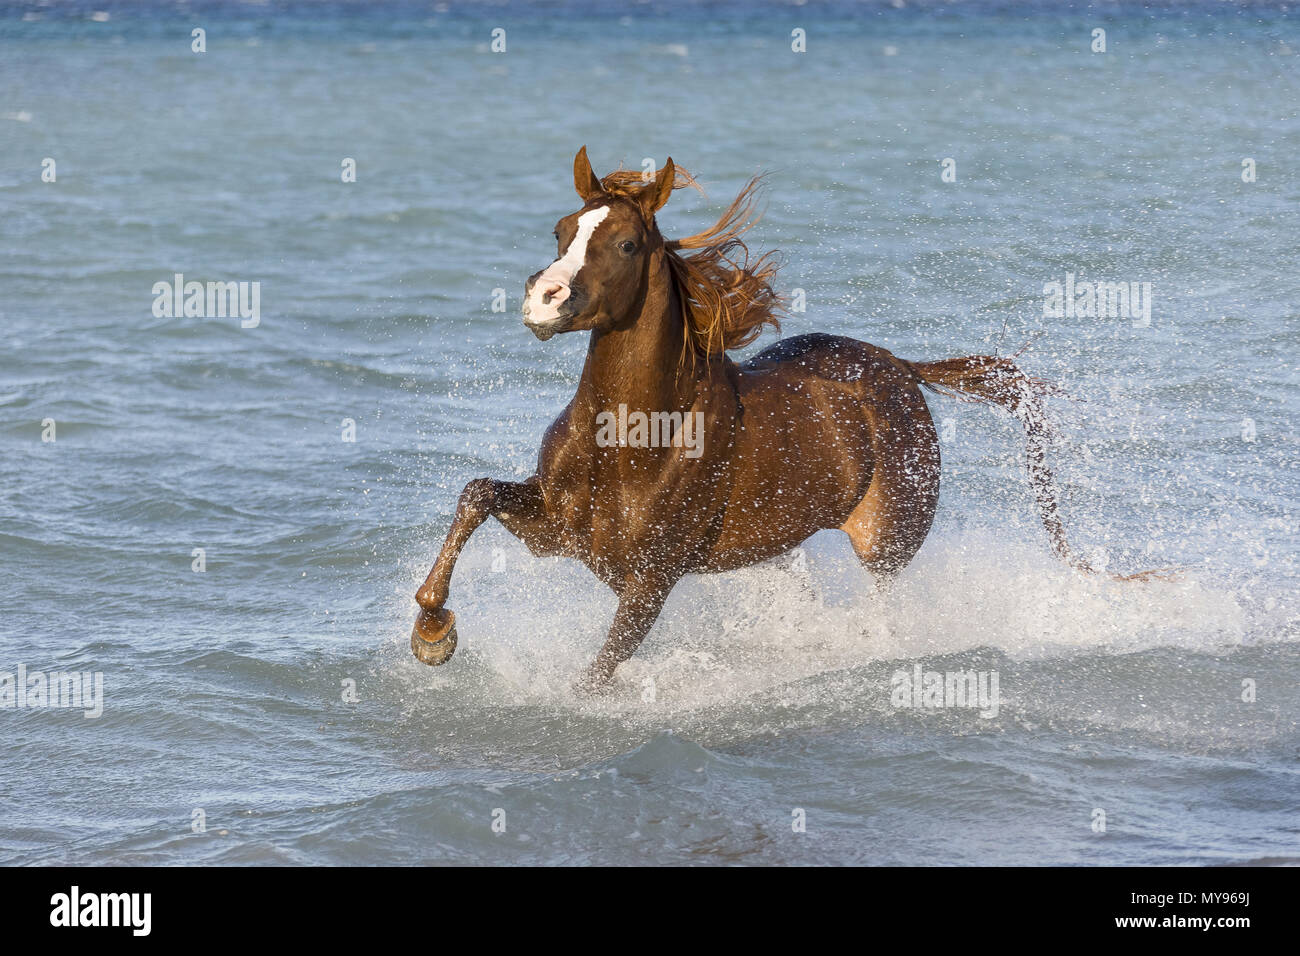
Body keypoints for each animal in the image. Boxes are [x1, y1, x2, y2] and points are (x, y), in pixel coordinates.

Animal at [410, 147, 1130, 690]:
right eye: (561, 231)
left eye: (625, 242)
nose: (543, 298)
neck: (634, 439)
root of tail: (901, 367)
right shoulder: (559, 532)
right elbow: (476, 494)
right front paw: (432, 630)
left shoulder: (650, 579)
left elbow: (597, 674)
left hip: (887, 540)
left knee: (880, 609)